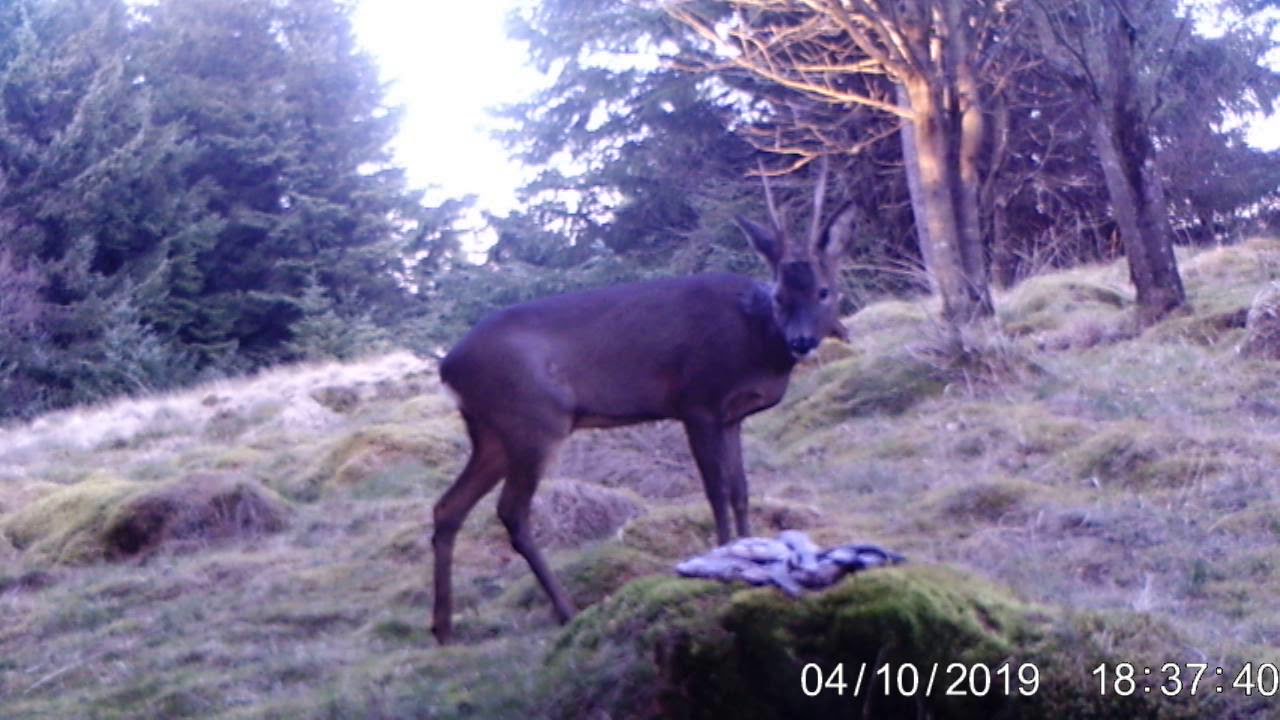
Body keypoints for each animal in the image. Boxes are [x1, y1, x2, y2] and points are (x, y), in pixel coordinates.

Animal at [431, 159, 856, 644]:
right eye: (781, 295)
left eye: (824, 290)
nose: (802, 341)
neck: (755, 340)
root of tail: (448, 367)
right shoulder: (698, 402)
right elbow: (716, 489)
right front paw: (723, 556)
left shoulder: (732, 416)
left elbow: (742, 490)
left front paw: (752, 555)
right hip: (533, 421)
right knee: (512, 512)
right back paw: (567, 611)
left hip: (491, 433)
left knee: (447, 507)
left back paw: (443, 628)